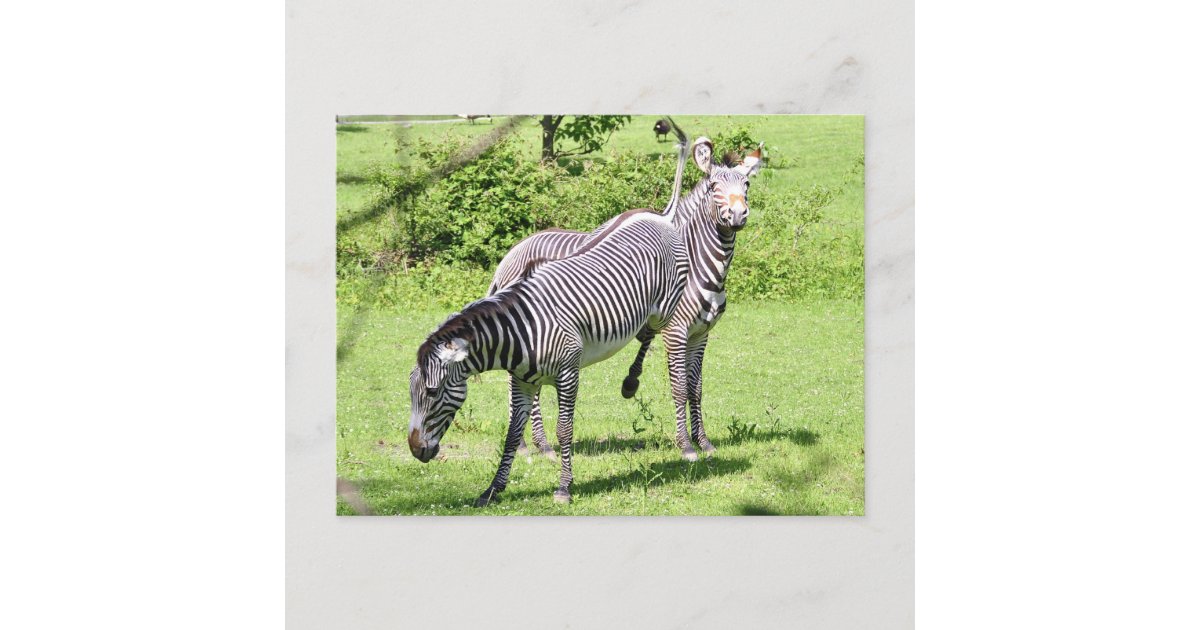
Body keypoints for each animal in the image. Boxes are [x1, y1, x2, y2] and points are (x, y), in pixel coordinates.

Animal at [408, 210, 689, 506]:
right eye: (410, 393)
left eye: (432, 392)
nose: (415, 449)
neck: (522, 332)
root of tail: (657, 215)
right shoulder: (522, 382)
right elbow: (512, 433)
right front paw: (493, 489)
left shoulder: (568, 375)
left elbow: (564, 430)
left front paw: (564, 486)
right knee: (646, 333)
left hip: (664, 309)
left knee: (651, 332)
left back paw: (631, 382)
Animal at [488, 135, 763, 461]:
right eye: (713, 186)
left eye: (747, 184)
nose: (737, 215)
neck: (699, 261)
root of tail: (512, 253)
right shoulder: (676, 331)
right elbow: (679, 387)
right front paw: (685, 445)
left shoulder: (700, 333)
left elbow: (695, 388)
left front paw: (704, 442)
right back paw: (533, 445)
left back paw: (533, 444)